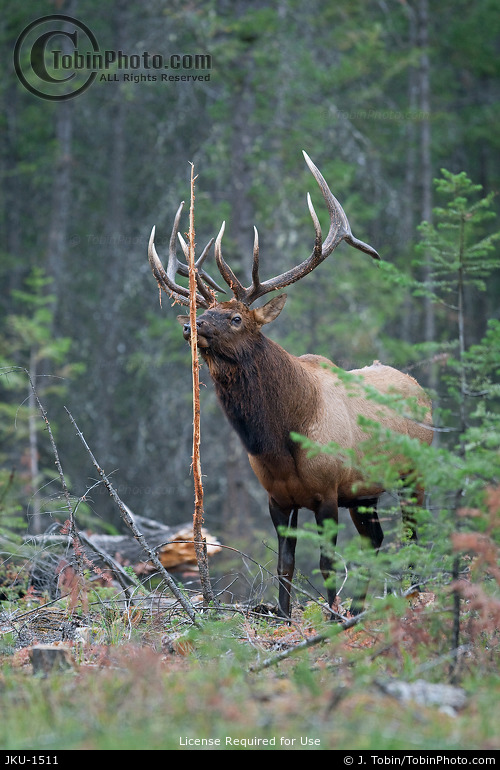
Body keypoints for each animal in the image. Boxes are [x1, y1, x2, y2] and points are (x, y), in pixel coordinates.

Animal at [148, 151, 433, 620]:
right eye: (208, 311)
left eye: (236, 317)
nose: (191, 325)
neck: (281, 438)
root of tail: (422, 392)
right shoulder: (278, 498)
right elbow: (285, 563)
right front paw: (283, 613)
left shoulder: (329, 491)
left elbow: (327, 563)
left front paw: (332, 614)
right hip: (367, 493)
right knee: (376, 540)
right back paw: (366, 604)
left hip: (415, 473)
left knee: (415, 535)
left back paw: (415, 592)